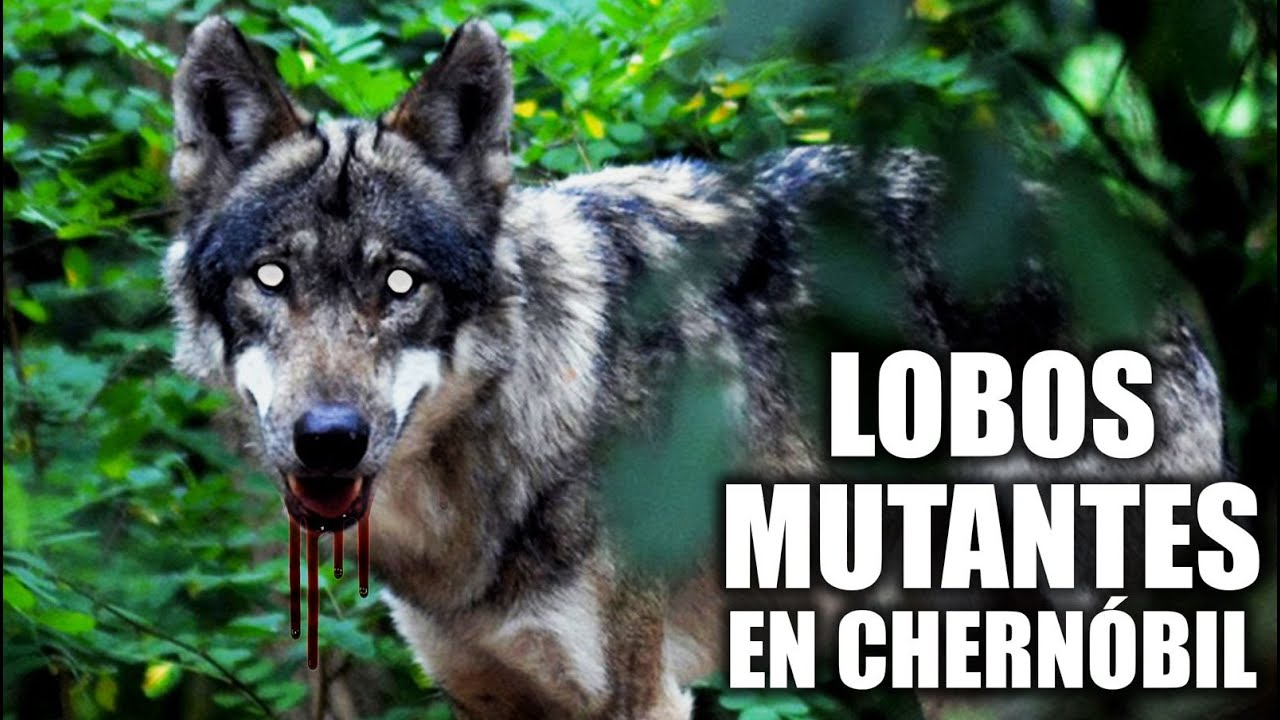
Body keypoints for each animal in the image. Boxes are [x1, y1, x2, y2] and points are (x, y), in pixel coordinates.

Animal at [164, 16, 1228, 720]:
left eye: (398, 283)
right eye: (271, 277)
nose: (329, 440)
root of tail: (1132, 256)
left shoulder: (637, 696)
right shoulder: (489, 696)